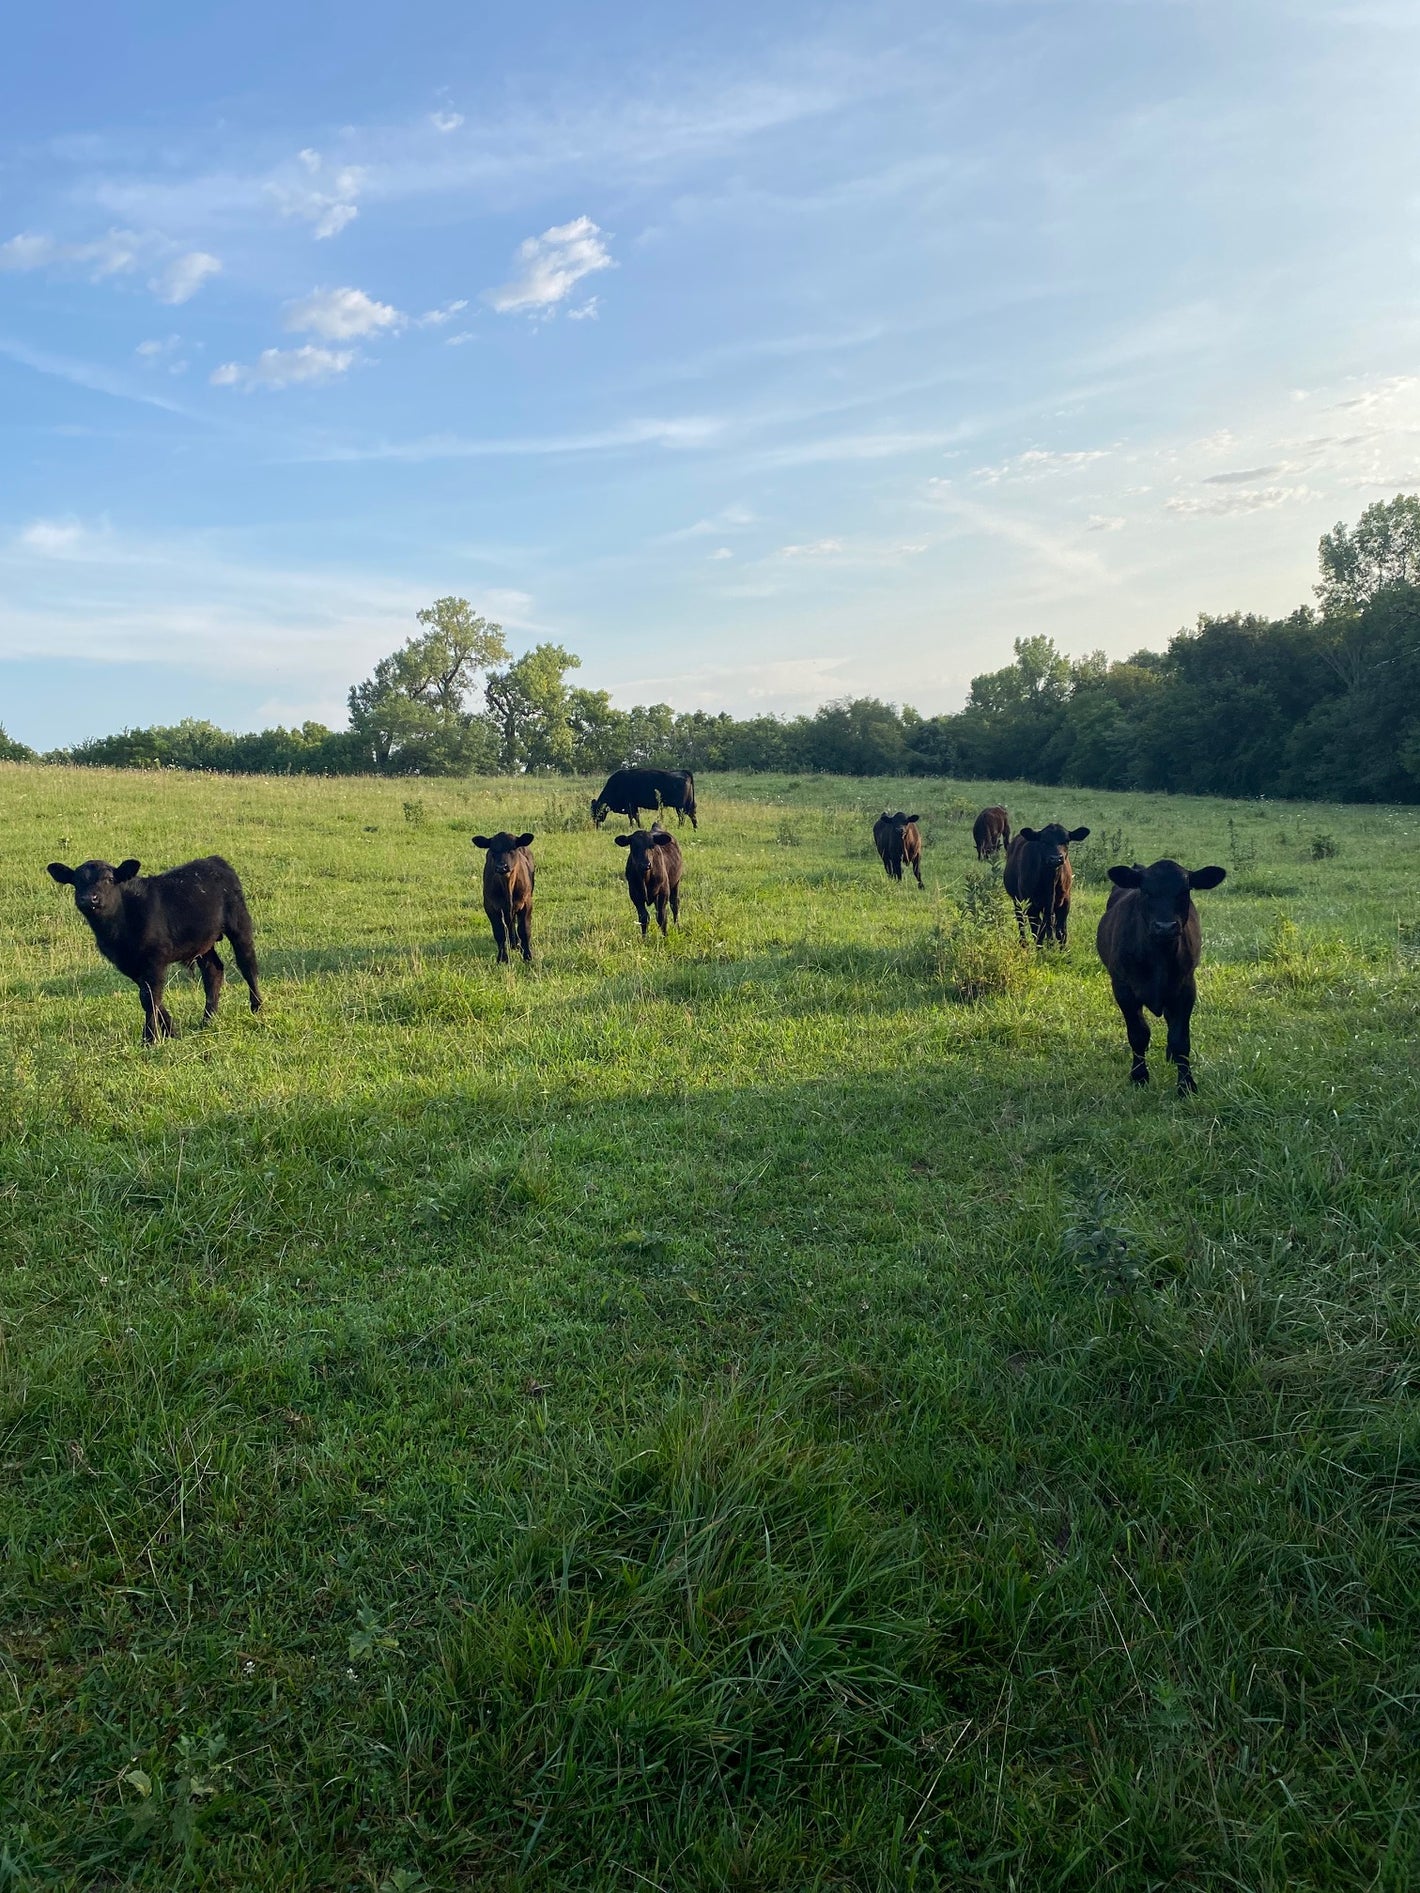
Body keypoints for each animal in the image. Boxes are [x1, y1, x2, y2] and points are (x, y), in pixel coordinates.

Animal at [46, 854, 261, 1044]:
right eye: (76, 882)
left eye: (109, 879)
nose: (89, 899)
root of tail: (214, 860)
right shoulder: (129, 965)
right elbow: (148, 996)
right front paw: (170, 1031)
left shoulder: (155, 959)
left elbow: (150, 997)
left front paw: (150, 1039)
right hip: (202, 943)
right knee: (213, 972)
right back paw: (207, 1020)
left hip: (239, 924)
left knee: (247, 964)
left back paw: (257, 1007)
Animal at [471, 831, 535, 963]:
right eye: (493, 851)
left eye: (512, 849)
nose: (502, 867)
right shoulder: (490, 906)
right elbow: (499, 933)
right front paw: (502, 958)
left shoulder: (527, 903)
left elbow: (524, 930)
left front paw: (527, 956)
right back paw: (514, 944)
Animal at [1096, 859, 1226, 1094]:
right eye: (1146, 891)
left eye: (1184, 891)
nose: (1165, 927)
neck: (1159, 955)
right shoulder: (1123, 989)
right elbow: (1138, 1034)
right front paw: (1139, 1076)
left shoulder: (1186, 988)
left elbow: (1180, 1038)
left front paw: (1186, 1084)